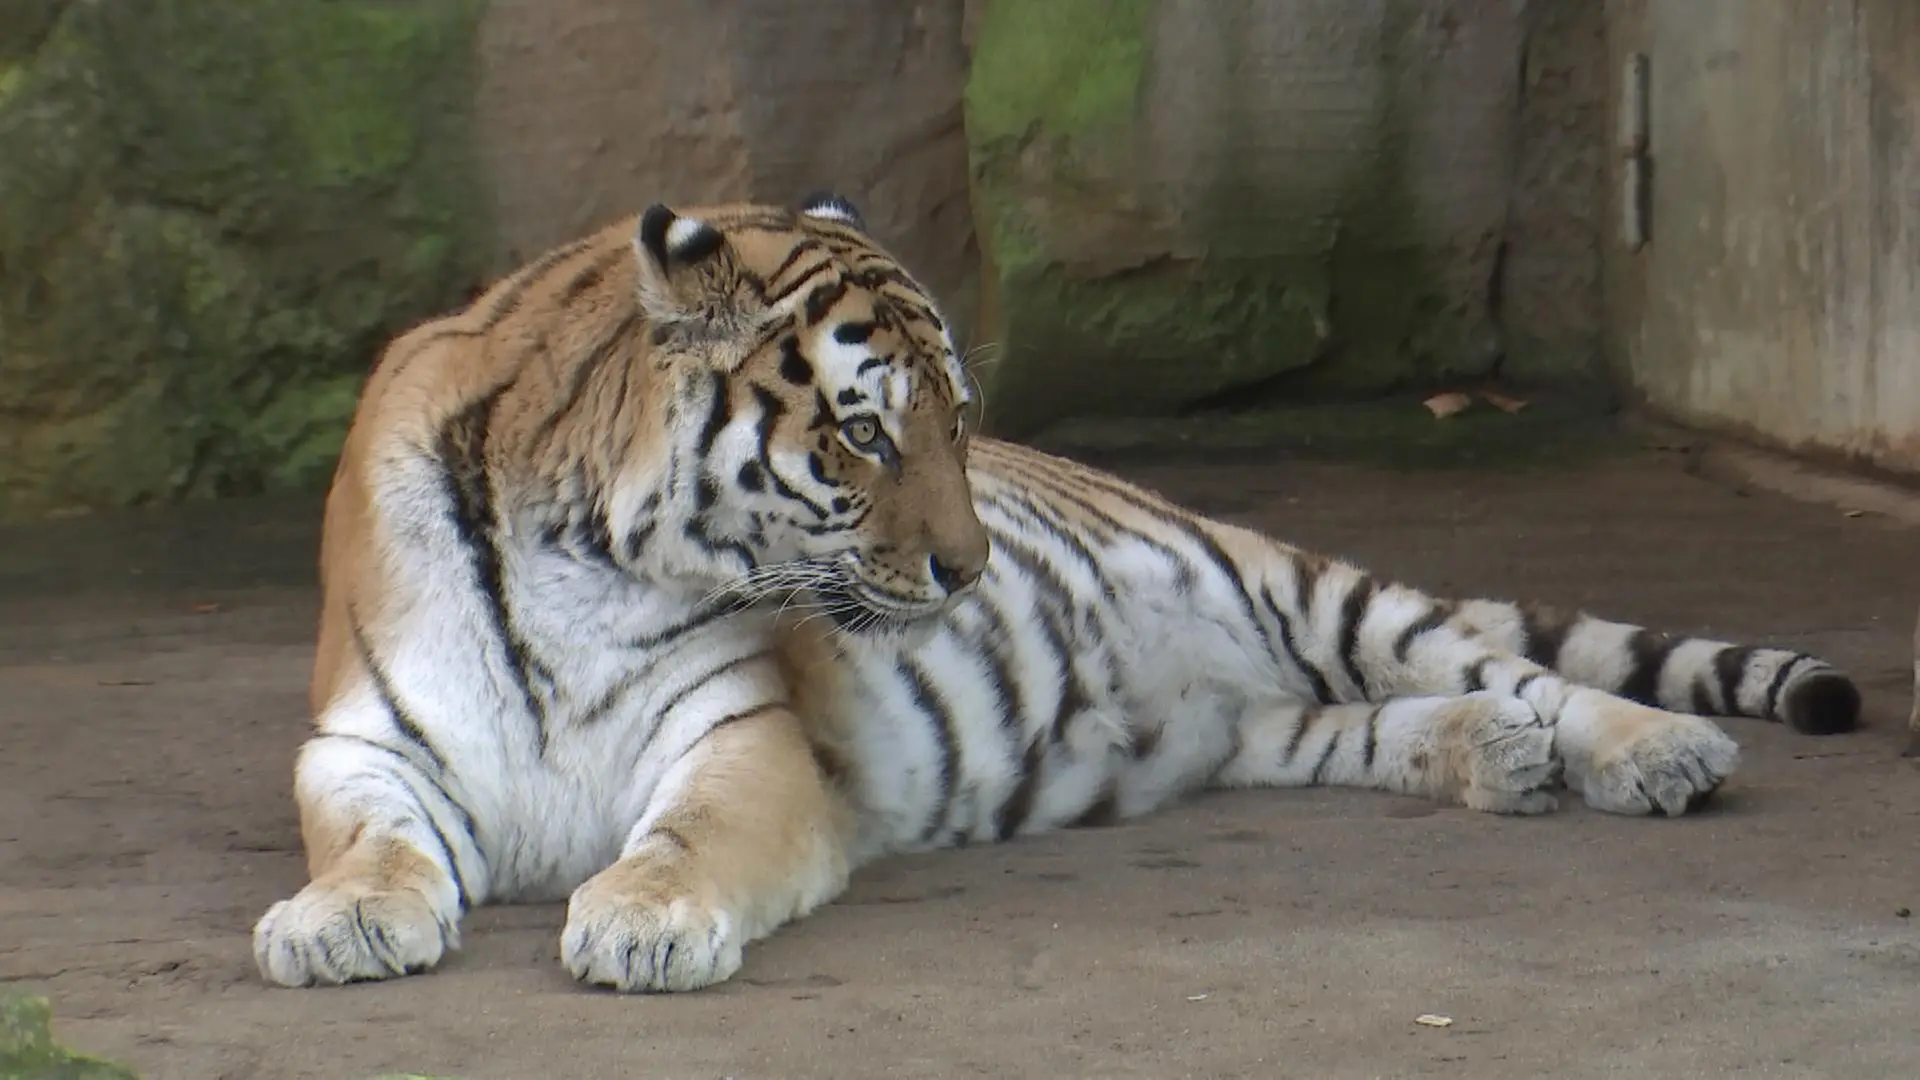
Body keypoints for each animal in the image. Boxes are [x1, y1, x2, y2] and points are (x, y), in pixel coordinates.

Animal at [251, 192, 1863, 993]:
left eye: (960, 420)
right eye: (865, 432)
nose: (969, 570)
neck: (588, 551)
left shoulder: (744, 740)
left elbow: (691, 836)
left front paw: (643, 925)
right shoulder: (363, 740)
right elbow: (368, 838)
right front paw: (334, 925)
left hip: (1315, 594)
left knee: (1519, 664)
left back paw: (1655, 752)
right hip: (1252, 723)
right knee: (1365, 725)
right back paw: (1494, 760)